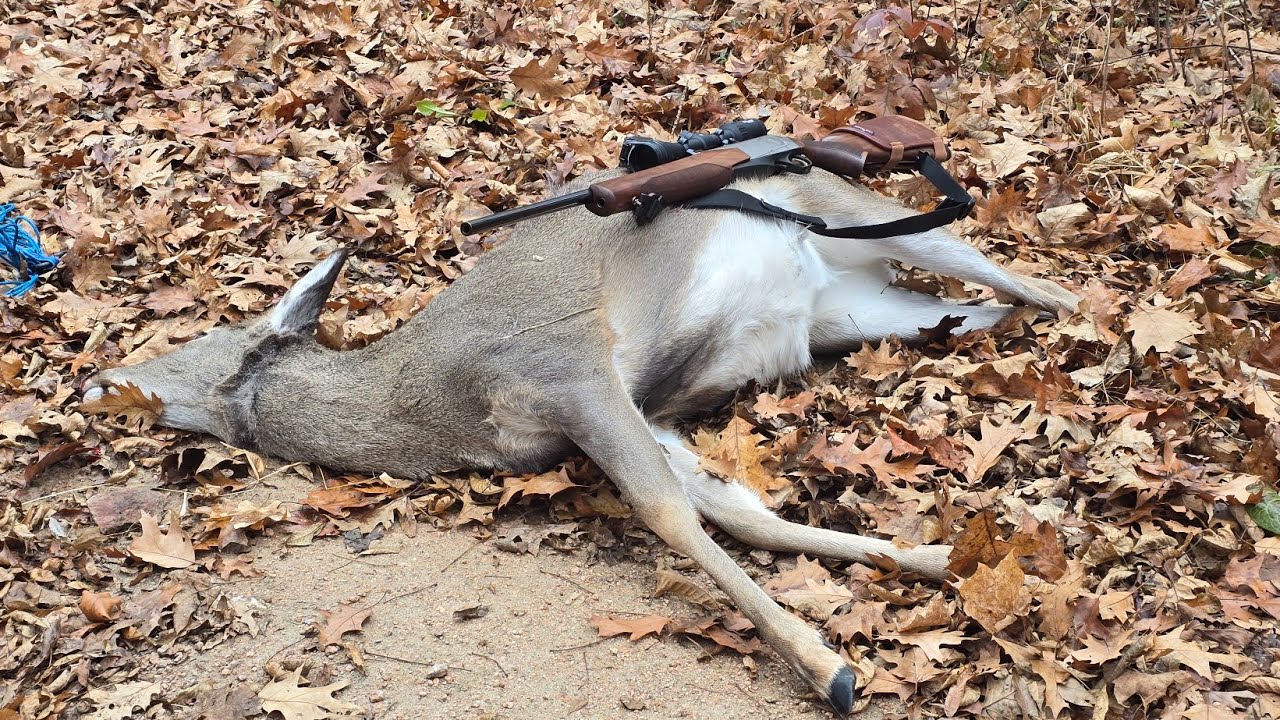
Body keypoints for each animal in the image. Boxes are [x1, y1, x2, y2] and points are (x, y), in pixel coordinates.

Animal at [82, 165, 1078, 715]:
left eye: (190, 345)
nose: (93, 381)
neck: (428, 406)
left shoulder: (572, 369)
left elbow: (671, 515)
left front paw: (830, 668)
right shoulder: (635, 413)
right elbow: (738, 514)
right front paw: (937, 558)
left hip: (855, 210)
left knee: (1034, 281)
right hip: (861, 311)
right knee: (991, 308)